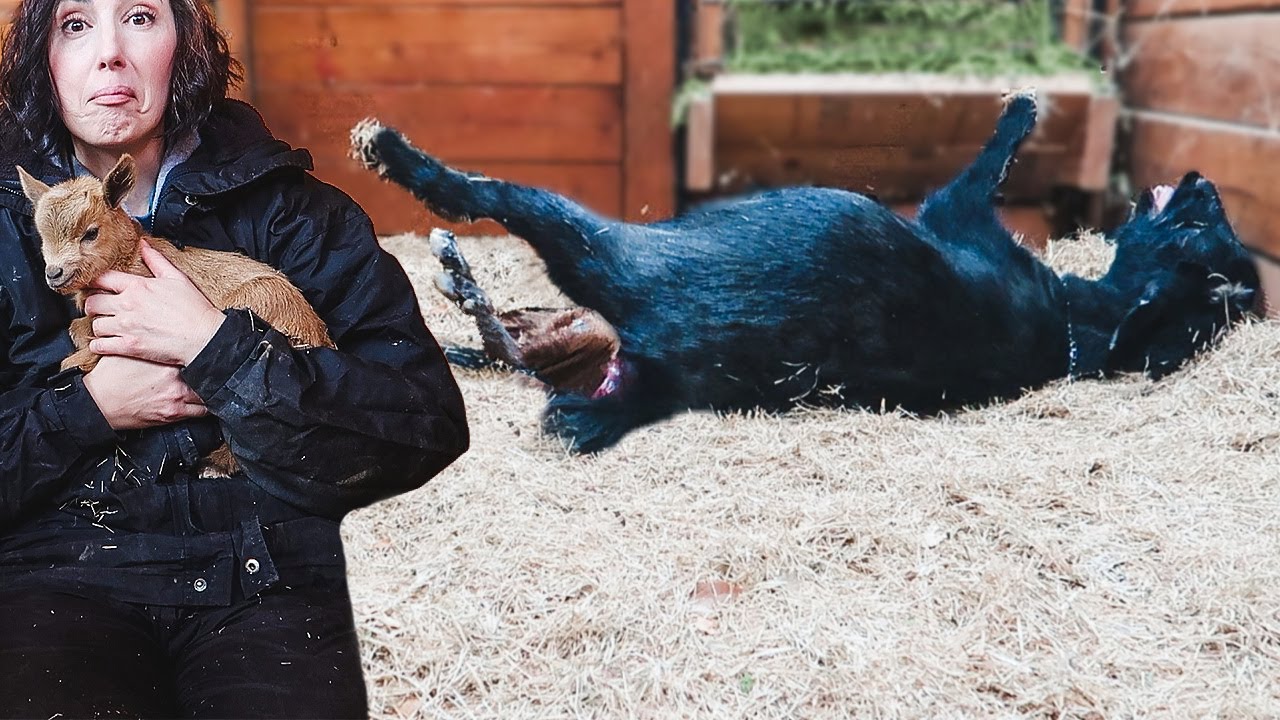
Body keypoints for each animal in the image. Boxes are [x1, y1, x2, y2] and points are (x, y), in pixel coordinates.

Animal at [19, 154, 335, 475]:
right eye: (42, 237)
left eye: (91, 233)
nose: (54, 273)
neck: (129, 259)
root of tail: (317, 335)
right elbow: (77, 328)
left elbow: (81, 347)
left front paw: (78, 360)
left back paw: (215, 465)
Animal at [352, 91, 1260, 453]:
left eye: (1201, 226)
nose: (1209, 182)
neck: (1081, 321)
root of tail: (662, 374)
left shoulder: (954, 207)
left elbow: (989, 157)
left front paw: (1022, 107)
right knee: (499, 334)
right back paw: (462, 294)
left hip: (590, 238)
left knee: (488, 197)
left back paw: (396, 157)